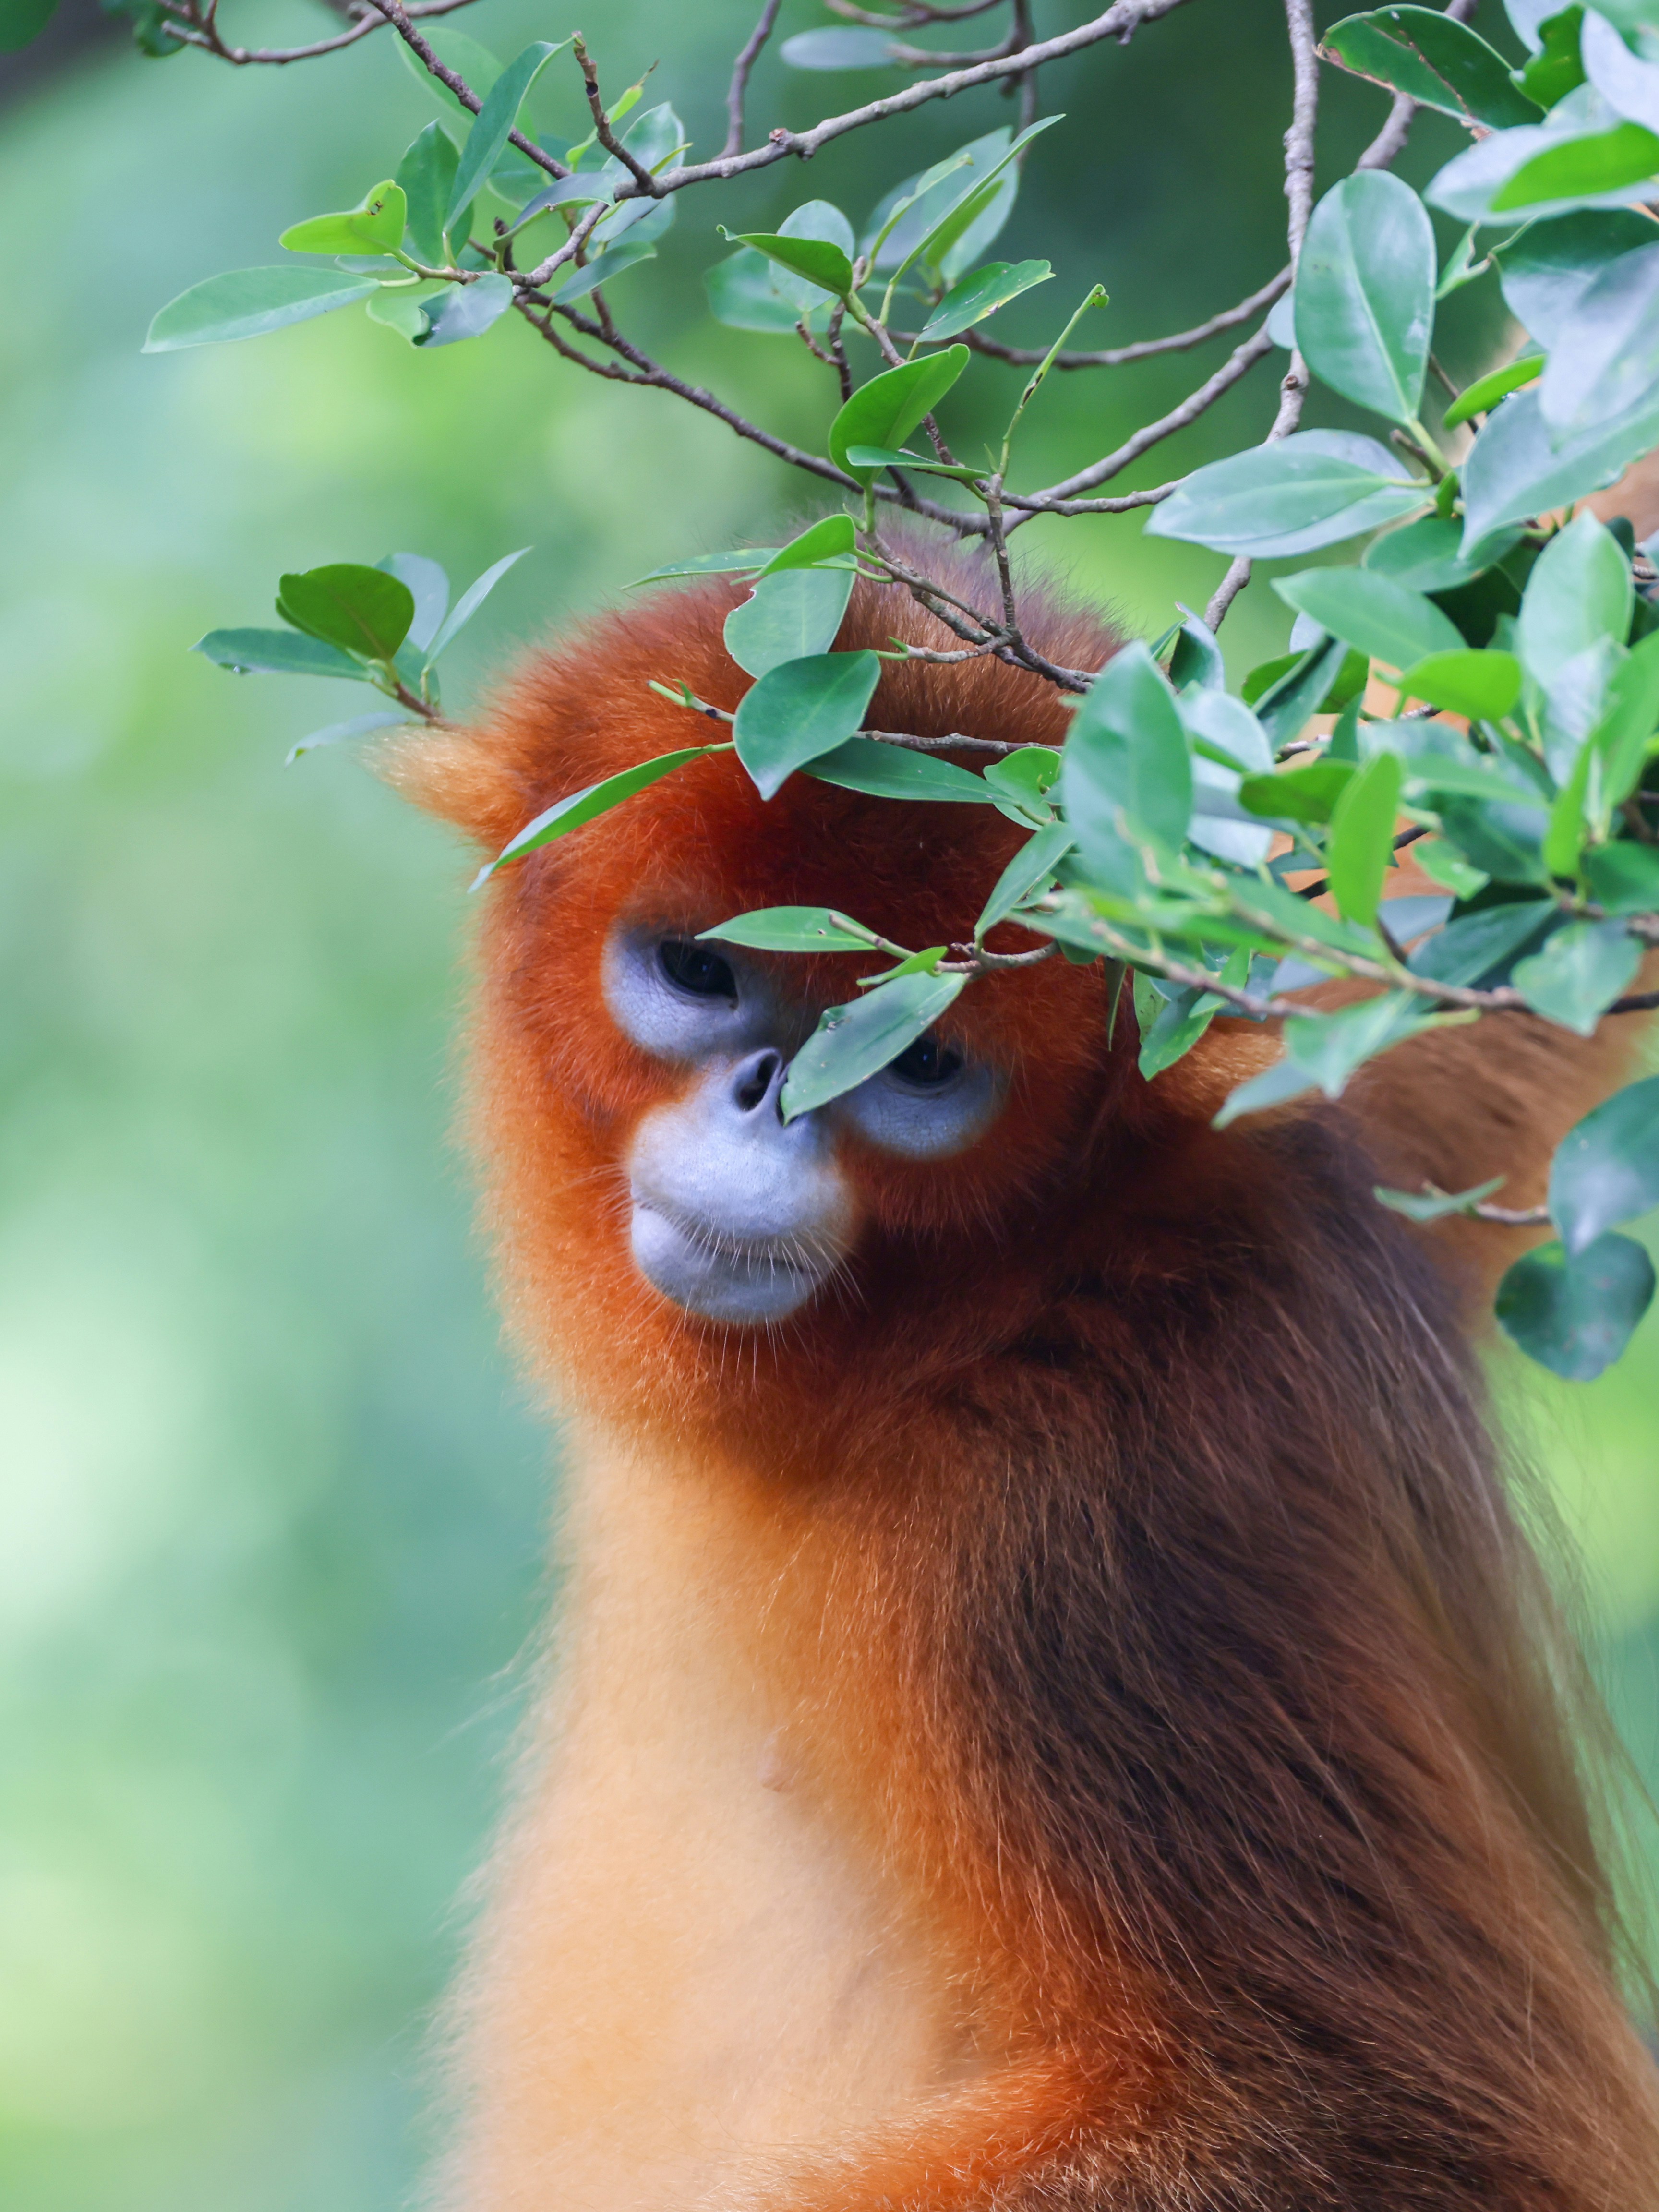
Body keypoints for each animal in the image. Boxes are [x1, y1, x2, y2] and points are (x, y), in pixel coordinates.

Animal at [387, 542, 1659, 2211]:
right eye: (703, 974)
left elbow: (1413, 2128)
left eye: (920, 1063)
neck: (1004, 1296)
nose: (772, 1103)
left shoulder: (1068, 1533)